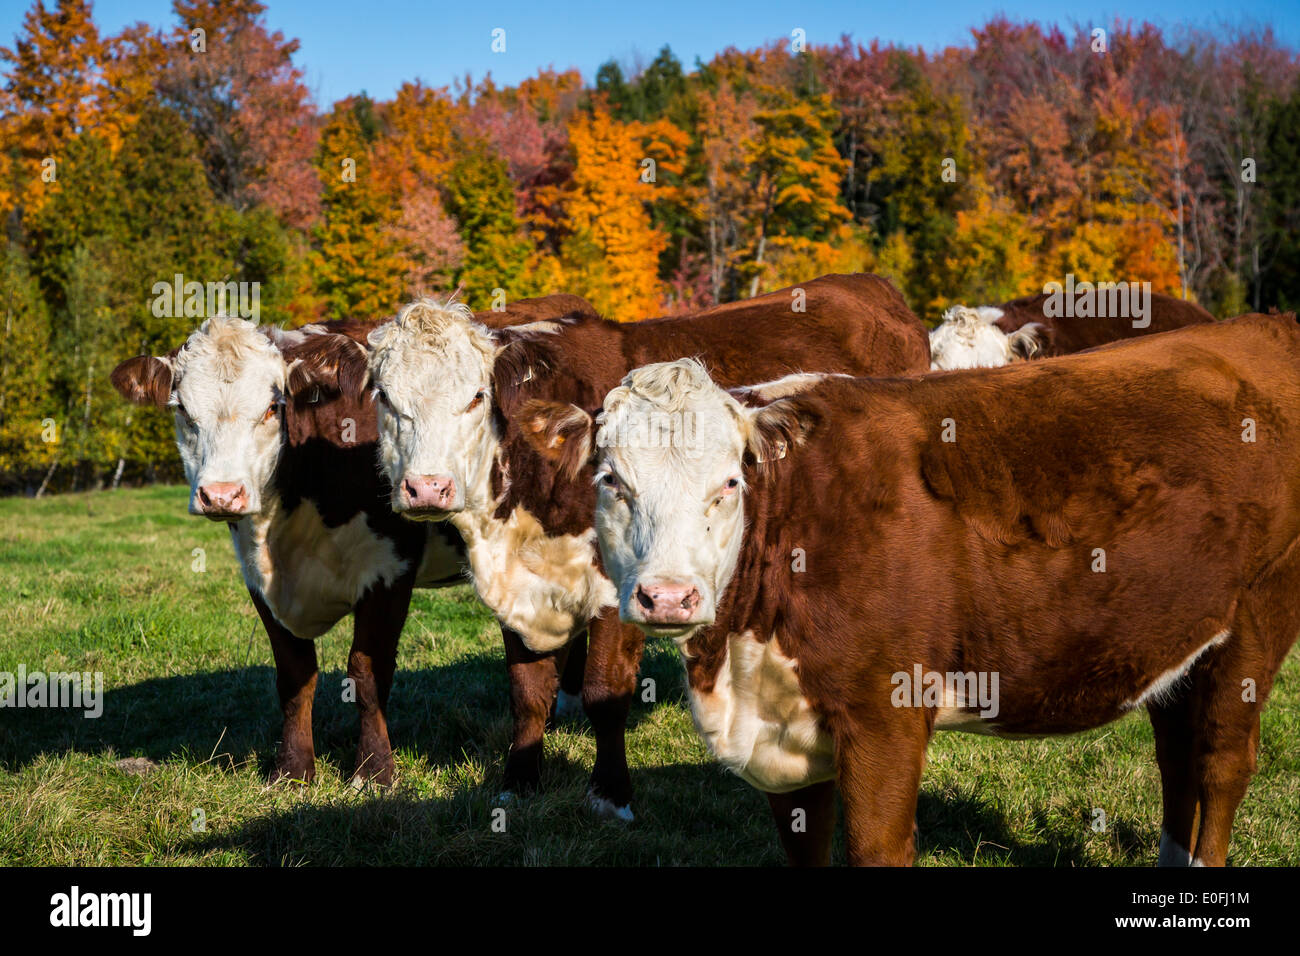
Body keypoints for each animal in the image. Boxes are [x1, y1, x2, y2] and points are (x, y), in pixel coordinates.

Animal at [109, 295, 595, 787]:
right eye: (183, 411)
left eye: (271, 408)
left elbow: (367, 673)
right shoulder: (258, 576)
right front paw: (293, 768)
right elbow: (294, 675)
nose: (222, 494)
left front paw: (375, 769)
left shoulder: (390, 568)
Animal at [325, 273, 931, 819]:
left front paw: (611, 794)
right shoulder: (517, 587)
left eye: (477, 396)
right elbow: (527, 692)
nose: (427, 488)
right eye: (384, 397)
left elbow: (605, 694)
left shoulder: (621, 589)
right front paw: (519, 781)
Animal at [580, 312, 1300, 865]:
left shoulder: (885, 714)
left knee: (1221, 762)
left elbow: (877, 848)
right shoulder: (781, 730)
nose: (668, 597)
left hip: (1258, 618)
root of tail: (1264, 325)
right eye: (612, 481)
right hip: (1174, 632)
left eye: (730, 482)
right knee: (1176, 754)